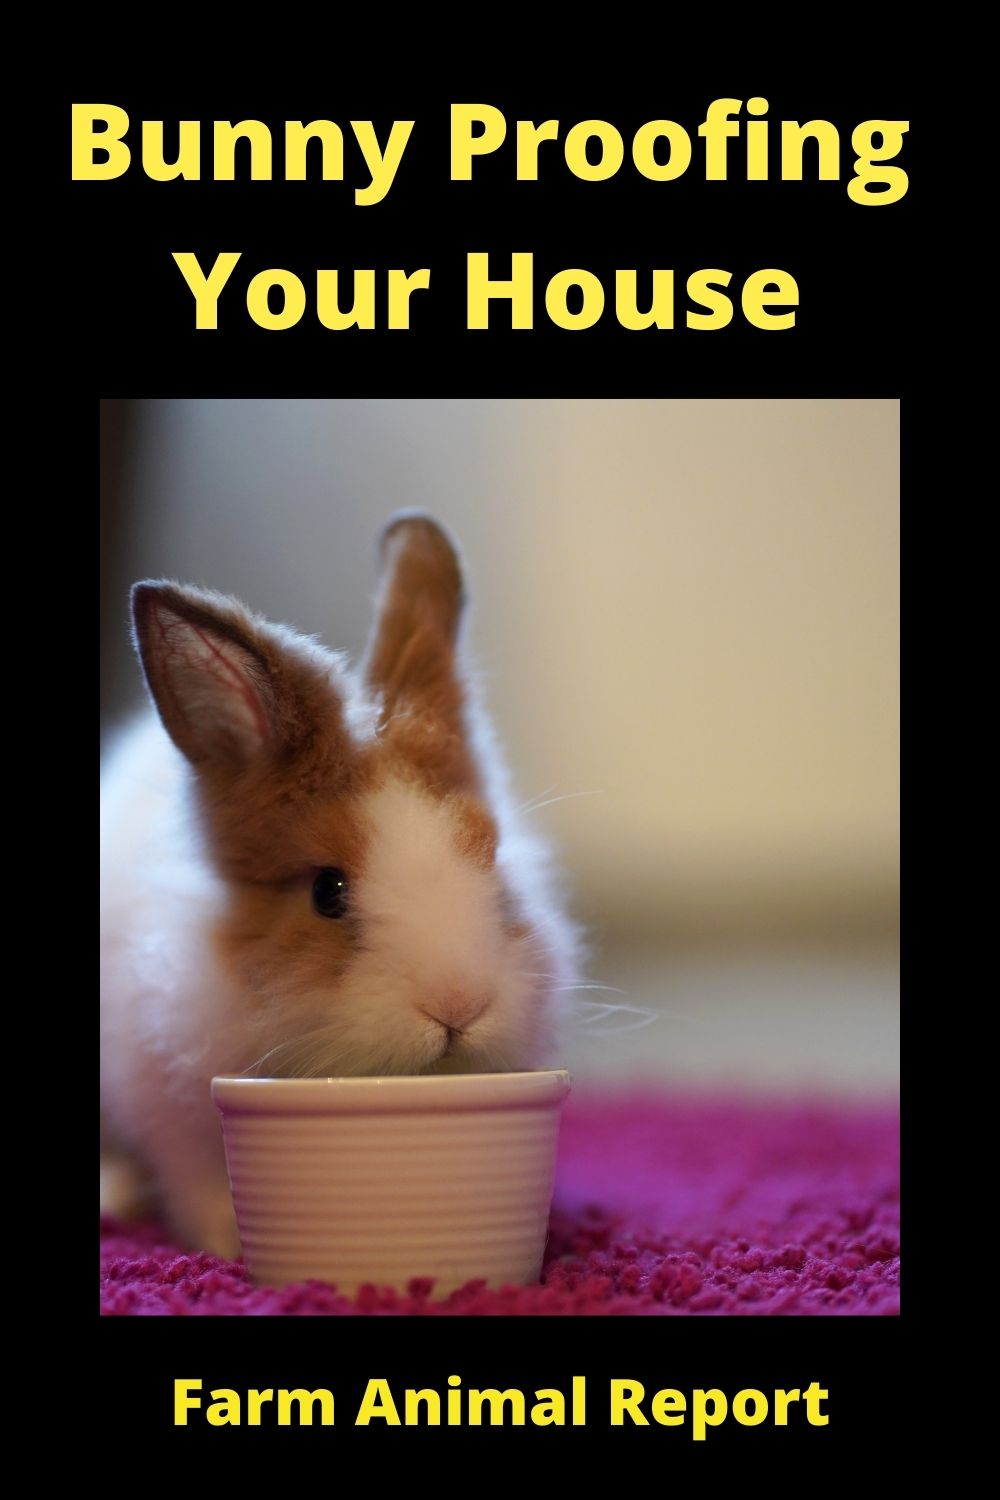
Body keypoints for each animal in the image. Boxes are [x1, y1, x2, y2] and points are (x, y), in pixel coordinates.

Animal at [100, 512, 581, 1258]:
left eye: (492, 859)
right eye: (328, 891)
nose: (458, 1006)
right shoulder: (169, 1105)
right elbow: (199, 1185)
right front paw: (227, 1247)